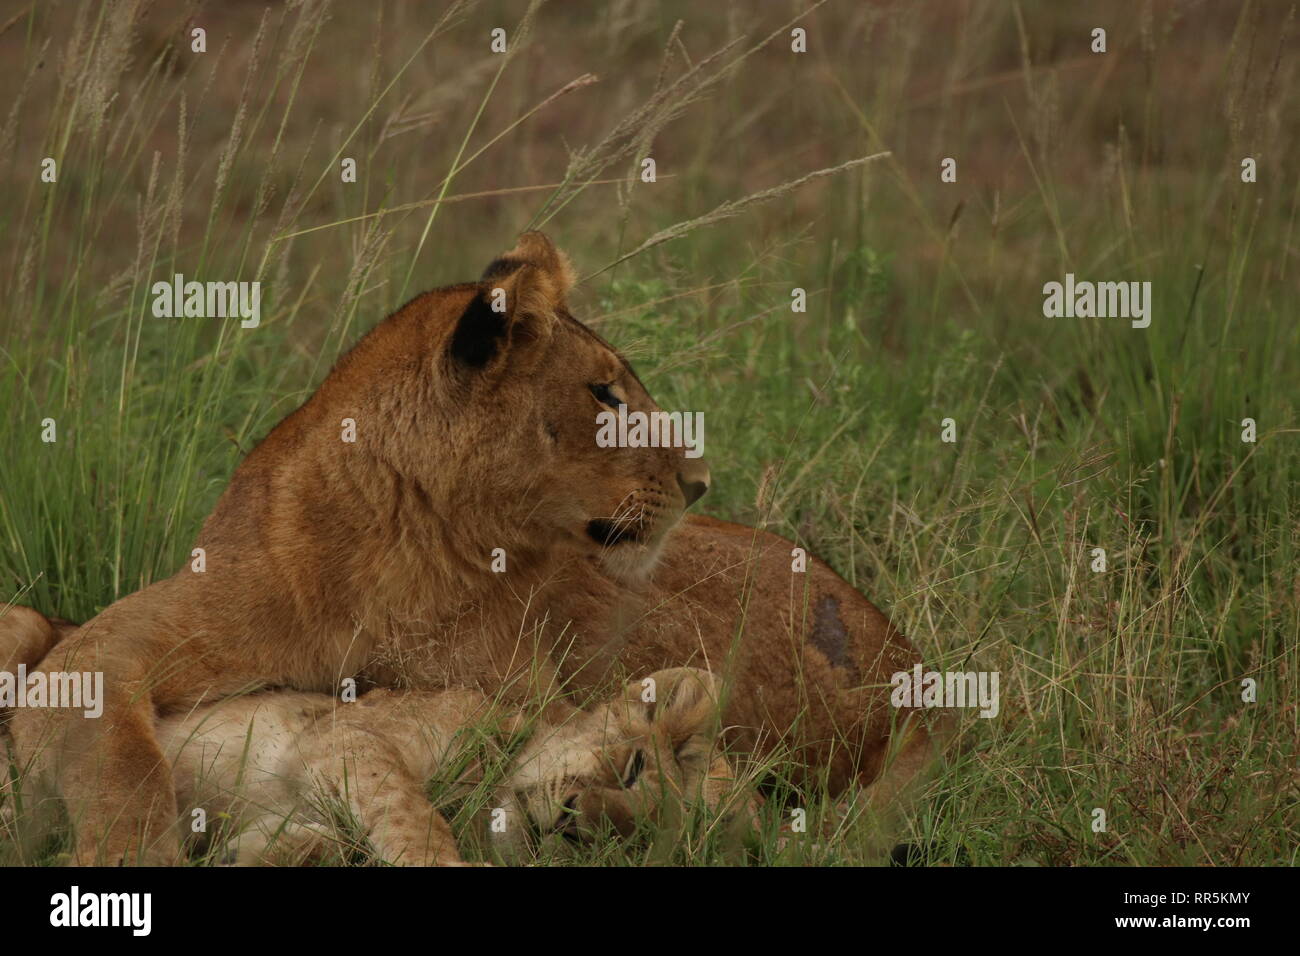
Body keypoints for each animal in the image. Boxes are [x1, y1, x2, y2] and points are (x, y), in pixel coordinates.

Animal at [7, 231, 935, 865]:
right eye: (605, 393)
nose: (702, 479)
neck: (408, 554)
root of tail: (922, 681)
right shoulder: (108, 647)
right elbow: (123, 767)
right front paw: (131, 852)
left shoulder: (502, 704)